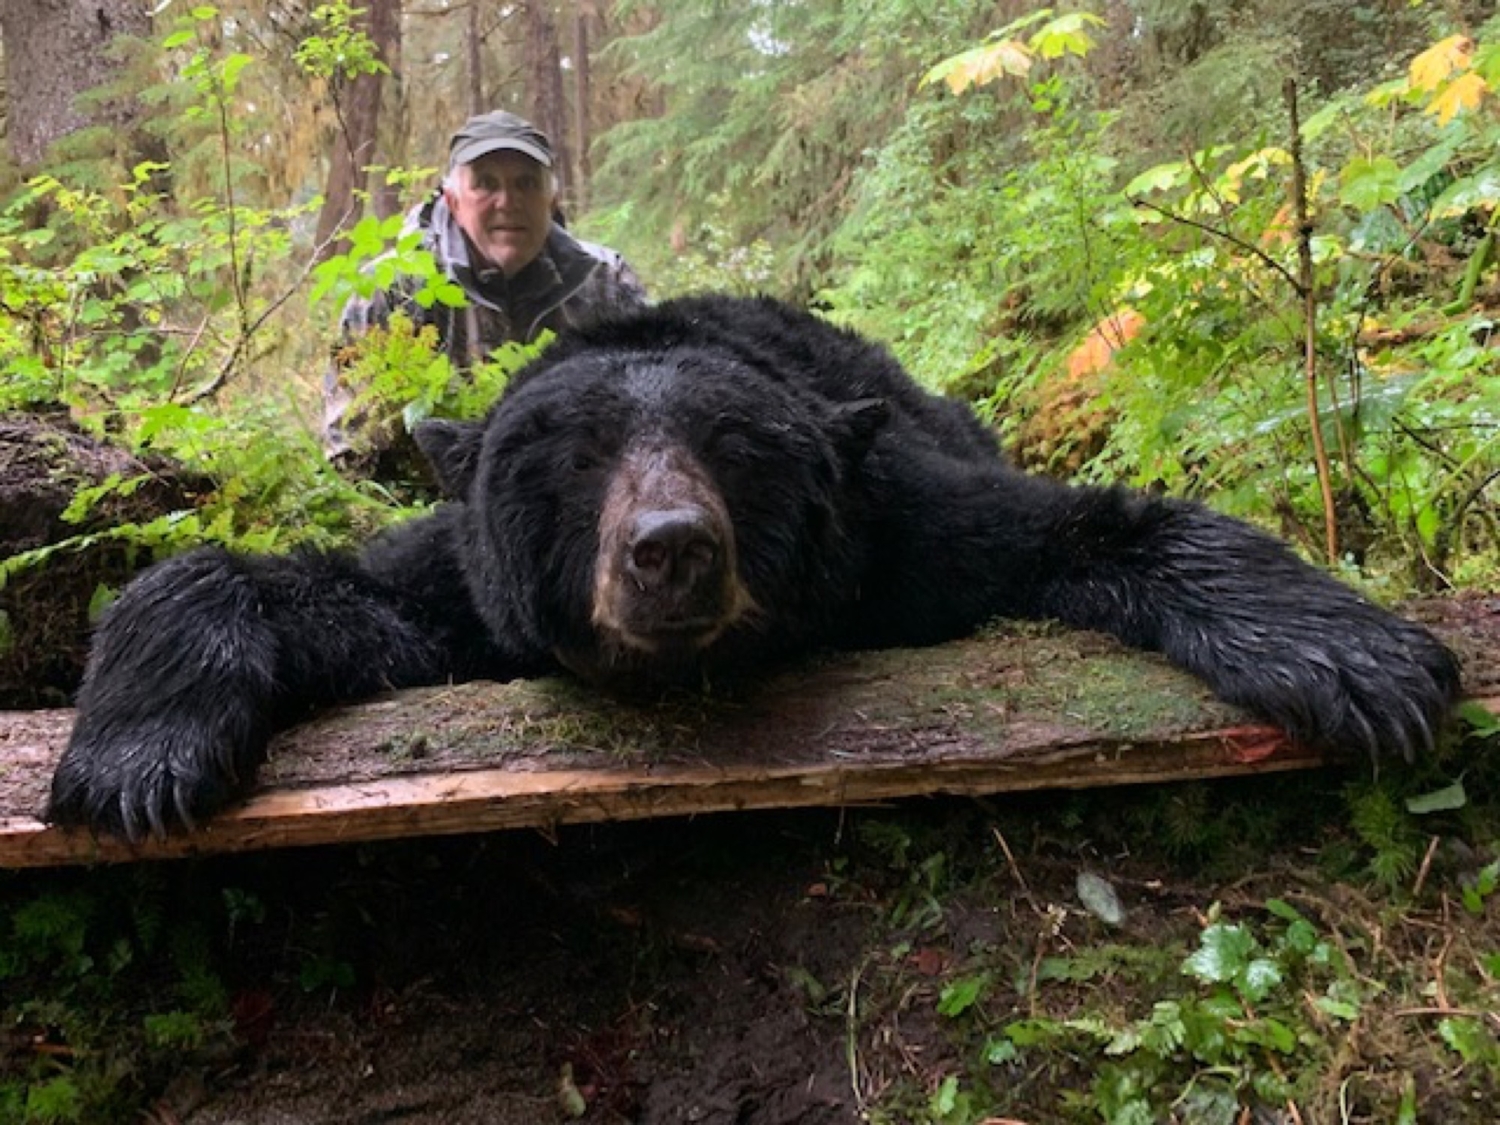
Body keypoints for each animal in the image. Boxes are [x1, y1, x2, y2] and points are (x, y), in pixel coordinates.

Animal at [48, 295, 1460, 840]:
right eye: (571, 458)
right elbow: (298, 587)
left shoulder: (901, 529)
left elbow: (1094, 522)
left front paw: (1360, 656)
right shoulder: (465, 592)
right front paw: (132, 762)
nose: (670, 548)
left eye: (738, 446)